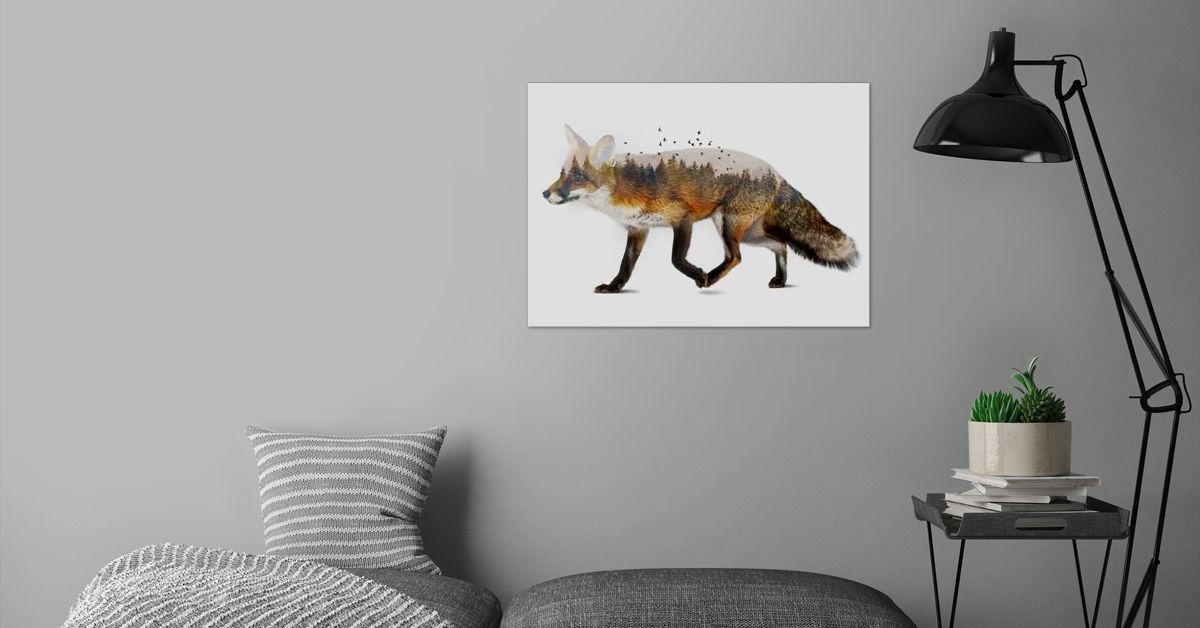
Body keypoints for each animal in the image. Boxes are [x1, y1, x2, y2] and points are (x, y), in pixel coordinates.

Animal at [542, 124, 858, 293]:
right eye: (562, 173)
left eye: (577, 177)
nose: (545, 193)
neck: (626, 189)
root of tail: (776, 172)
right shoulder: (639, 229)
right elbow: (625, 266)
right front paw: (614, 287)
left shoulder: (683, 219)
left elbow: (676, 259)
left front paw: (698, 275)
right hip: (749, 232)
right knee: (780, 245)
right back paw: (781, 280)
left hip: (728, 225)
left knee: (736, 257)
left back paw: (713, 278)